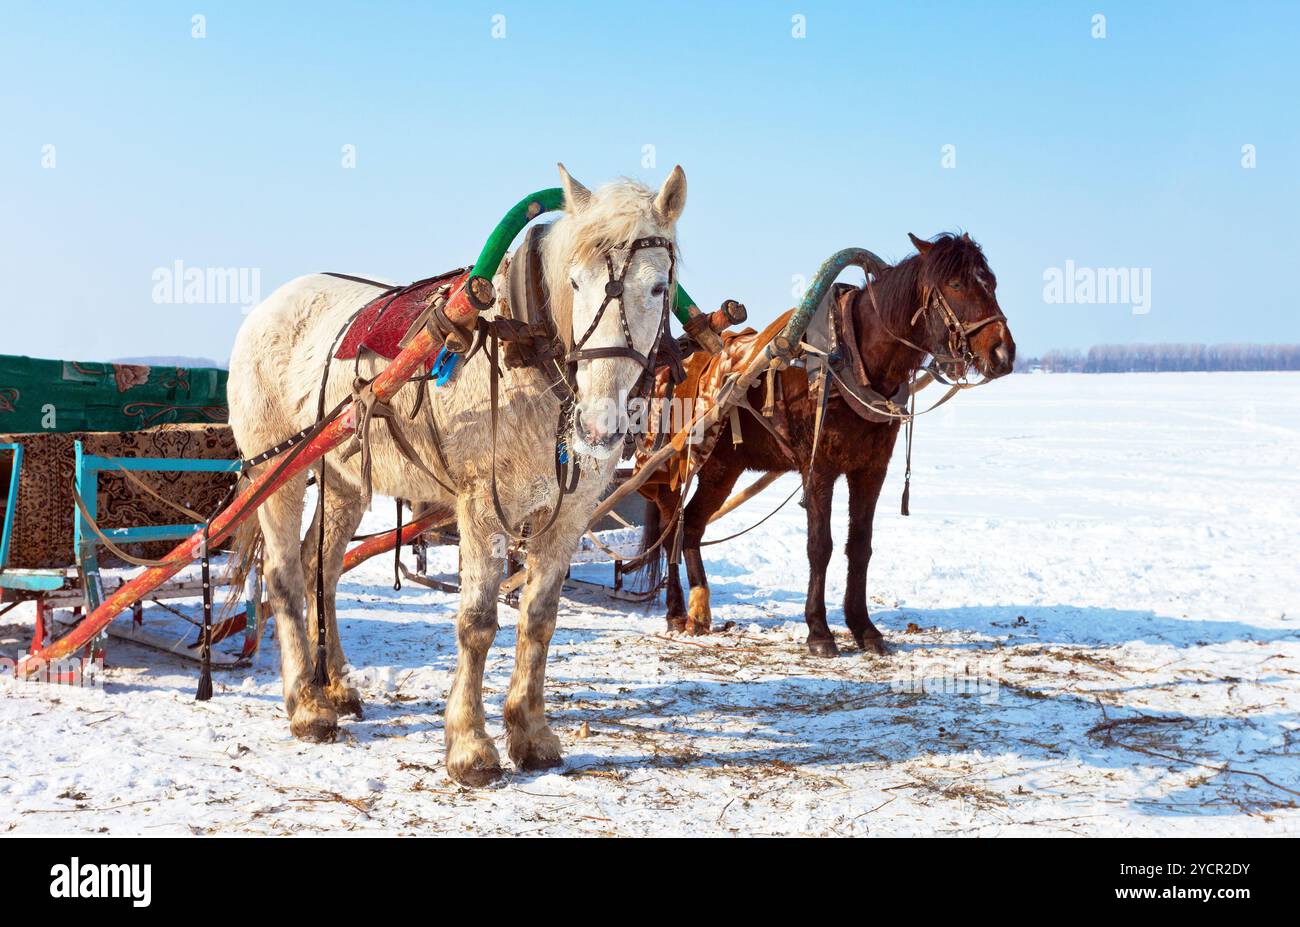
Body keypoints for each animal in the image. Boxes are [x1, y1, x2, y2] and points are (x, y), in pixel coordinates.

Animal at [227, 165, 688, 785]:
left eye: (659, 288)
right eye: (574, 282)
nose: (598, 421)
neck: (528, 349)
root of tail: (269, 306)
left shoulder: (567, 512)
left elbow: (539, 619)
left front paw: (531, 732)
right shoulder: (484, 508)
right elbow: (477, 621)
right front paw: (470, 744)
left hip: (344, 479)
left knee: (318, 569)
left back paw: (337, 685)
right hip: (274, 472)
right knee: (282, 577)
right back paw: (307, 704)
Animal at [638, 232, 1016, 657]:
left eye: (992, 282)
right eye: (955, 284)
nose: (1003, 353)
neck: (853, 358)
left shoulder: (870, 469)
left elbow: (860, 546)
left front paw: (864, 627)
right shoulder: (818, 467)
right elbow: (820, 545)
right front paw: (819, 630)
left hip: (723, 467)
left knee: (692, 527)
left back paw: (700, 610)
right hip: (674, 462)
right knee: (671, 527)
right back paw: (675, 610)